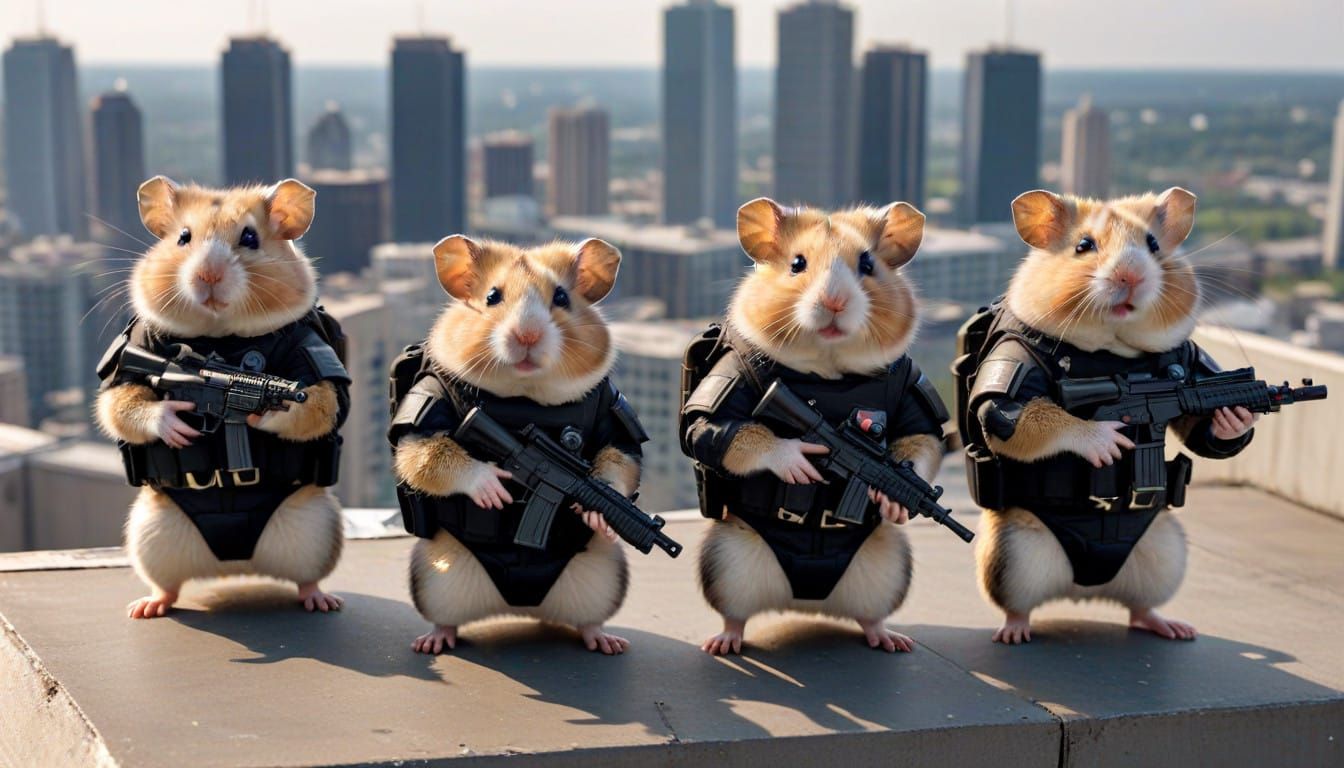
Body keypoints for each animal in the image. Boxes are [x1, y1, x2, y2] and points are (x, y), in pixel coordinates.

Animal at [95, 176, 349, 618]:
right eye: (183, 237)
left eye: (250, 237)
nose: (208, 275)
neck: (221, 338)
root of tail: (234, 567)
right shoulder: (135, 348)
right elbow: (120, 401)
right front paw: (176, 426)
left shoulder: (309, 350)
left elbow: (324, 401)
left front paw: (266, 413)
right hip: (150, 535)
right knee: (166, 585)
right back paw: (148, 606)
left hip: (317, 529)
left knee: (307, 577)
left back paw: (320, 599)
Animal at [391, 235, 642, 655]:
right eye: (492, 296)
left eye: (561, 297)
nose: (527, 336)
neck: (525, 393)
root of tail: (521, 606)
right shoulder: (428, 398)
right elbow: (423, 453)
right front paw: (493, 490)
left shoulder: (611, 405)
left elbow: (621, 455)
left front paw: (597, 511)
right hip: (433, 577)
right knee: (444, 618)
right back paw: (433, 641)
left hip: (604, 576)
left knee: (589, 620)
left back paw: (606, 640)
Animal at [682, 197, 948, 655]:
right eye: (797, 264)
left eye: (868, 264)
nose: (835, 301)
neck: (829, 370)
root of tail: (805, 600)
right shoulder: (731, 376)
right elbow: (707, 429)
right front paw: (799, 464)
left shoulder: (910, 379)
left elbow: (921, 438)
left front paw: (896, 502)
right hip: (725, 561)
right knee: (735, 613)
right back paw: (723, 642)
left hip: (889, 566)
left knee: (871, 615)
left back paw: (889, 638)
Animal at [970, 187, 1258, 644]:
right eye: (1083, 246)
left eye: (1153, 244)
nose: (1131, 277)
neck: (1112, 349)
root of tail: (1081, 590)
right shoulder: (1012, 360)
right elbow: (1010, 413)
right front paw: (1107, 442)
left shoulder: (1188, 359)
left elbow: (1199, 428)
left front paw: (1235, 419)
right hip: (1013, 554)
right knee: (1018, 604)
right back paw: (1014, 632)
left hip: (1164, 550)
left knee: (1140, 605)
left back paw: (1170, 626)